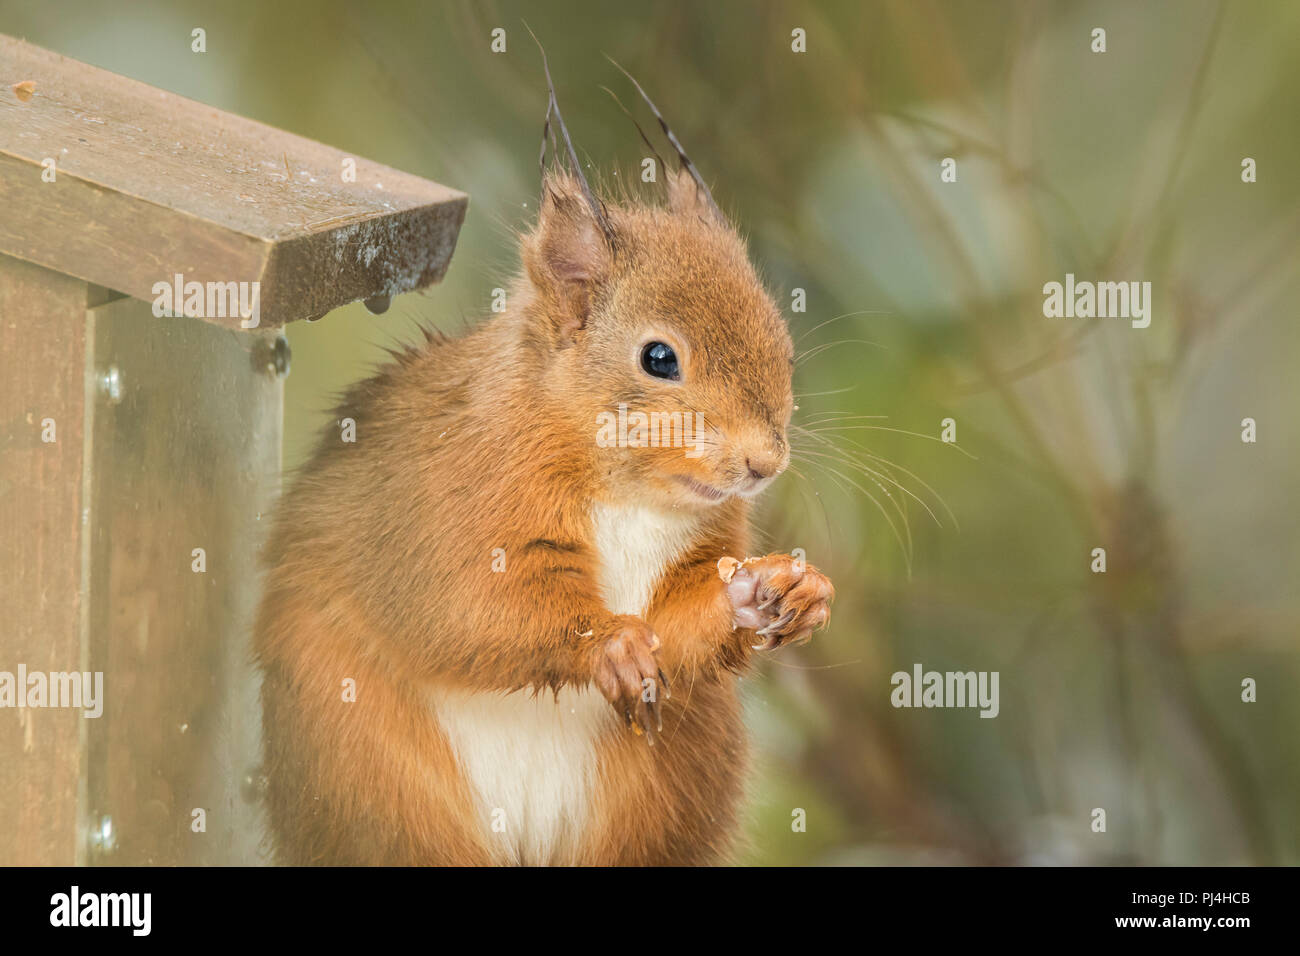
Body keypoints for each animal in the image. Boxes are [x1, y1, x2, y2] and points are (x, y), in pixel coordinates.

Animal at [254, 132, 835, 864]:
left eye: (781, 344)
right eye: (659, 358)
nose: (764, 464)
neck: (629, 495)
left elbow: (680, 624)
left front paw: (777, 590)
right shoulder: (447, 512)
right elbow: (475, 608)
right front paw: (611, 643)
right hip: (360, 760)